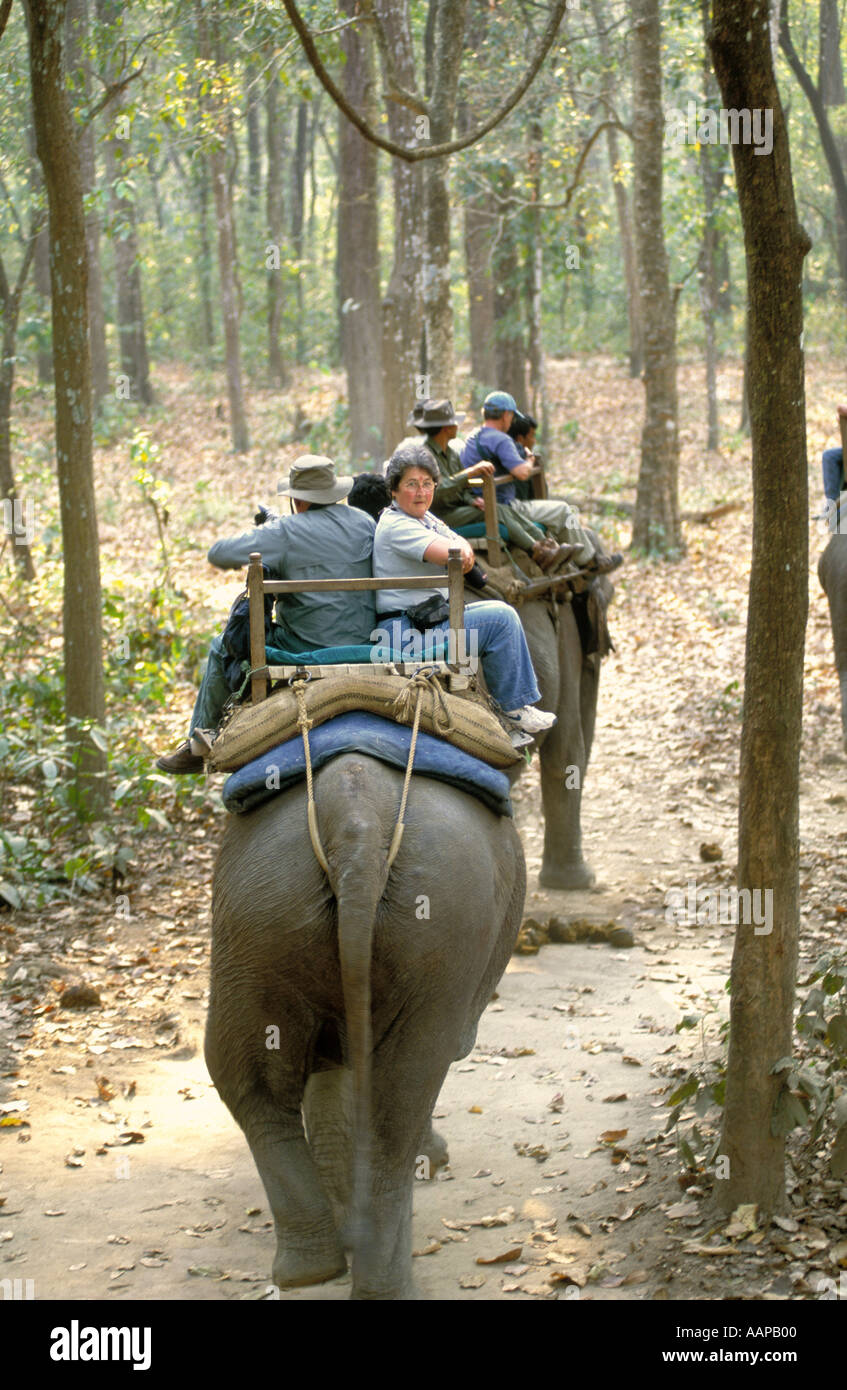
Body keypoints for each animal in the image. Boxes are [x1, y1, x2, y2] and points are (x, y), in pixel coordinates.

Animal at [205, 751, 525, 1300]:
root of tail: (356, 817)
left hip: (256, 920)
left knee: (248, 1080)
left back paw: (312, 1268)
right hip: (443, 921)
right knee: (407, 1088)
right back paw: (382, 1278)